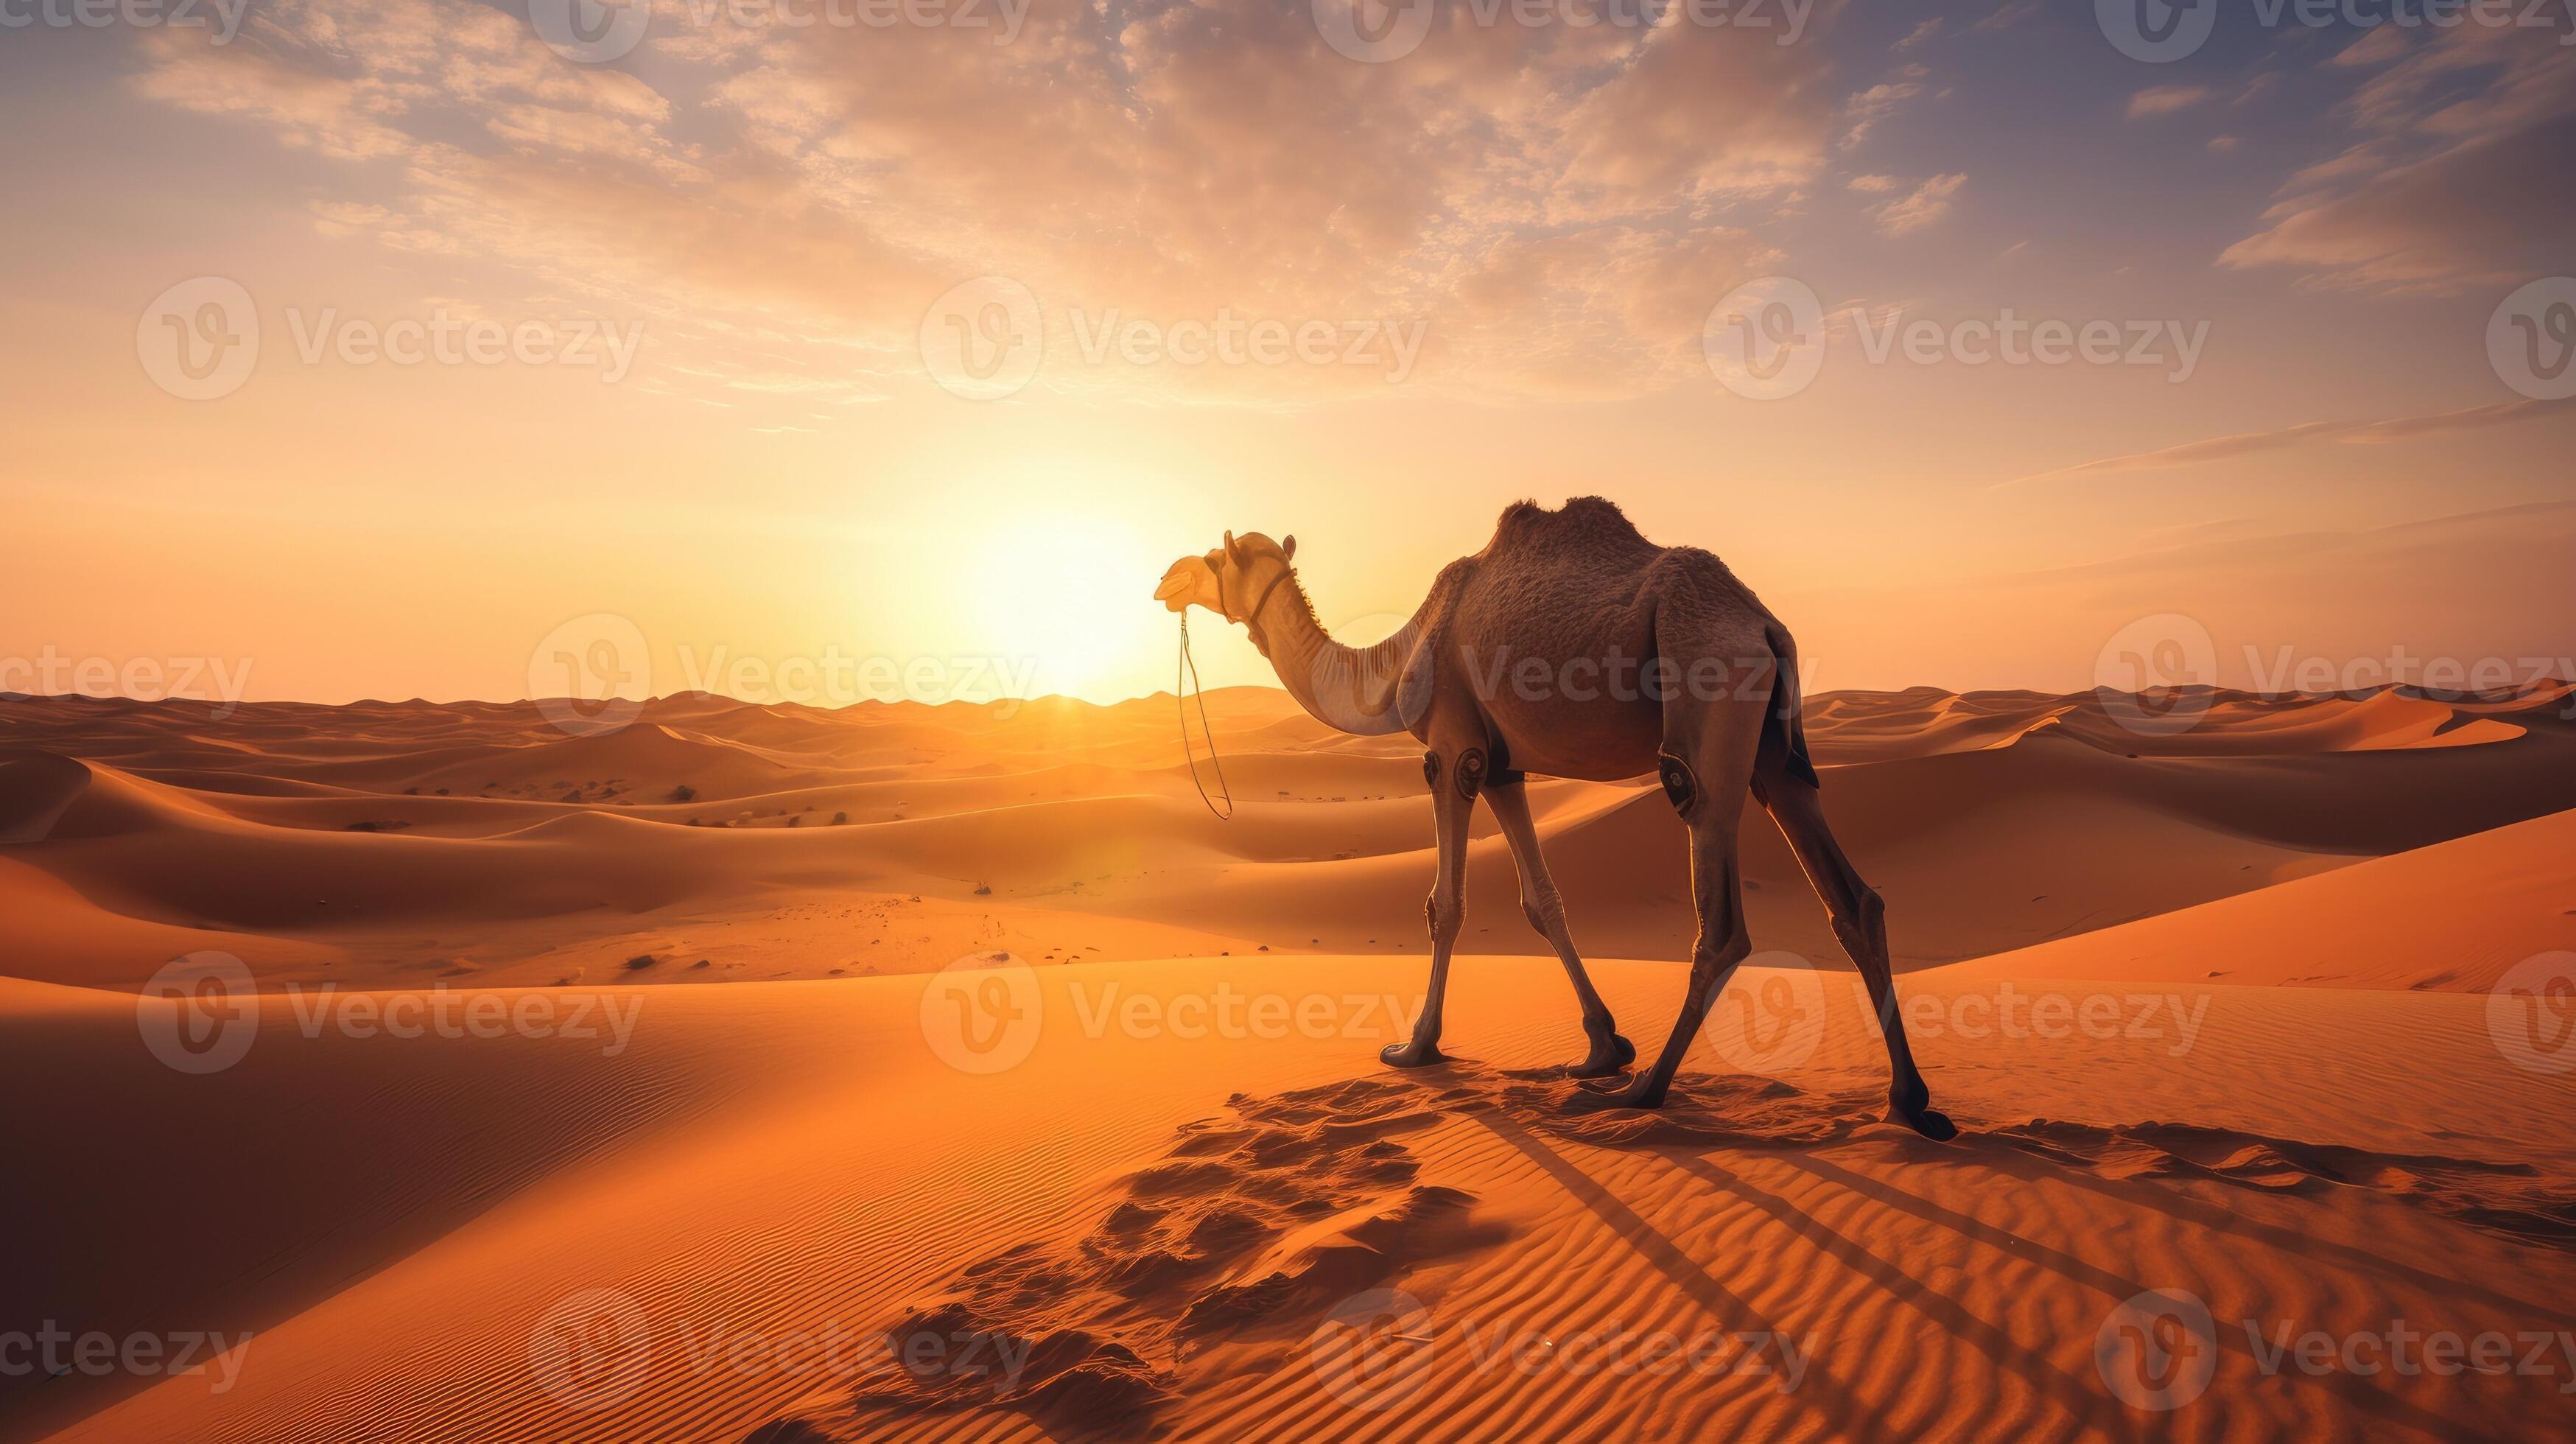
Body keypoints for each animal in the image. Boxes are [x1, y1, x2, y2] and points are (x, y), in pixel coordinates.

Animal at [1154, 496, 1953, 1139]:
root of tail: (1761, 625)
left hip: (1706, 703)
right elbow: (1543, 901)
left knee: (1720, 913)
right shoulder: (1502, 765)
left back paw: (1644, 1093)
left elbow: (1445, 905)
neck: (1394, 661)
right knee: (1853, 898)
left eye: (1211, 558)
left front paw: (1416, 1046)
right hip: (1772, 753)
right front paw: (1602, 1047)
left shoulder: (1451, 749)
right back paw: (1909, 1103)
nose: (1164, 579)